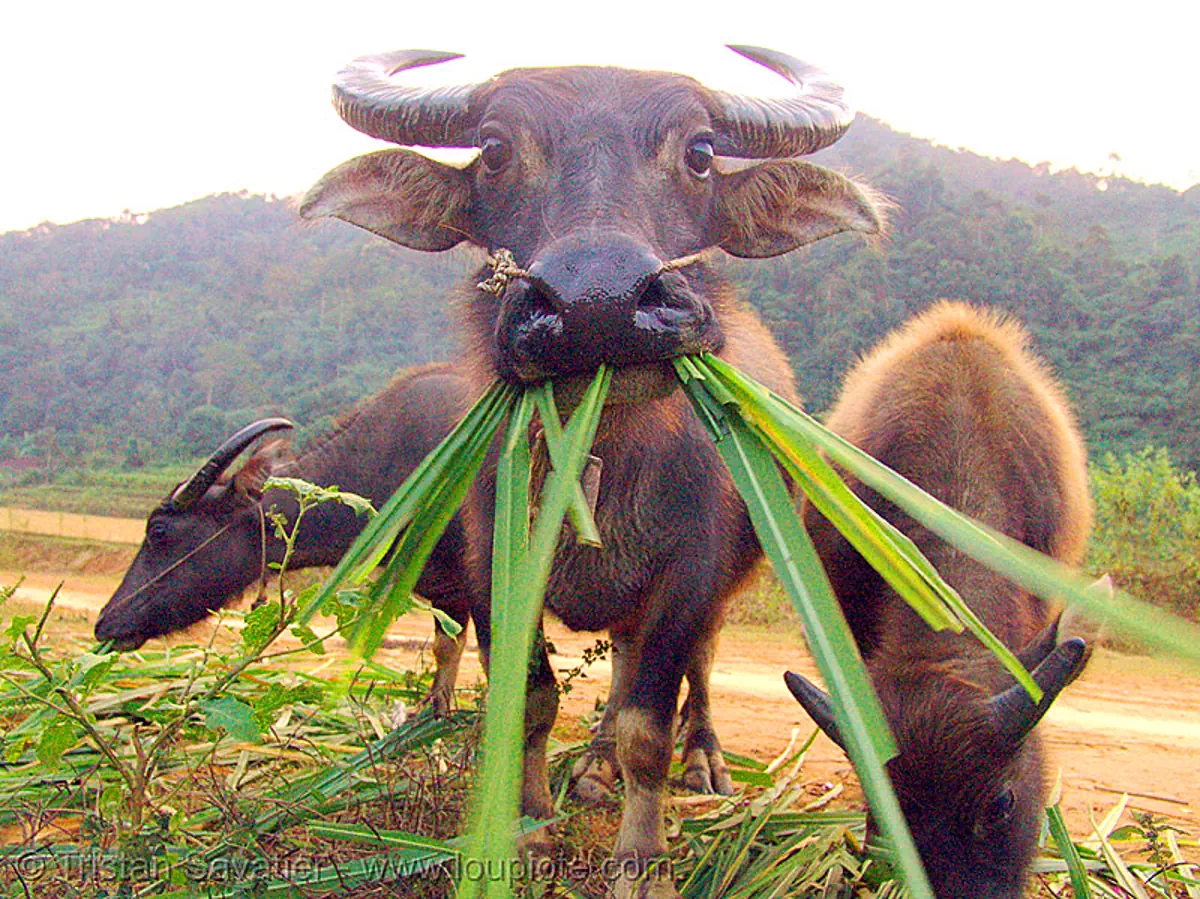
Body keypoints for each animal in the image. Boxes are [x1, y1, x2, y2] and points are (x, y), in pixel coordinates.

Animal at [299, 46, 883, 895]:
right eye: (495, 150)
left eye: (701, 152)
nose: (597, 302)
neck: (599, 452)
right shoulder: (491, 562)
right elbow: (531, 697)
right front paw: (529, 829)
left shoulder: (688, 573)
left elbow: (649, 723)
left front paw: (643, 859)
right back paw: (595, 766)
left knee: (695, 668)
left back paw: (703, 760)